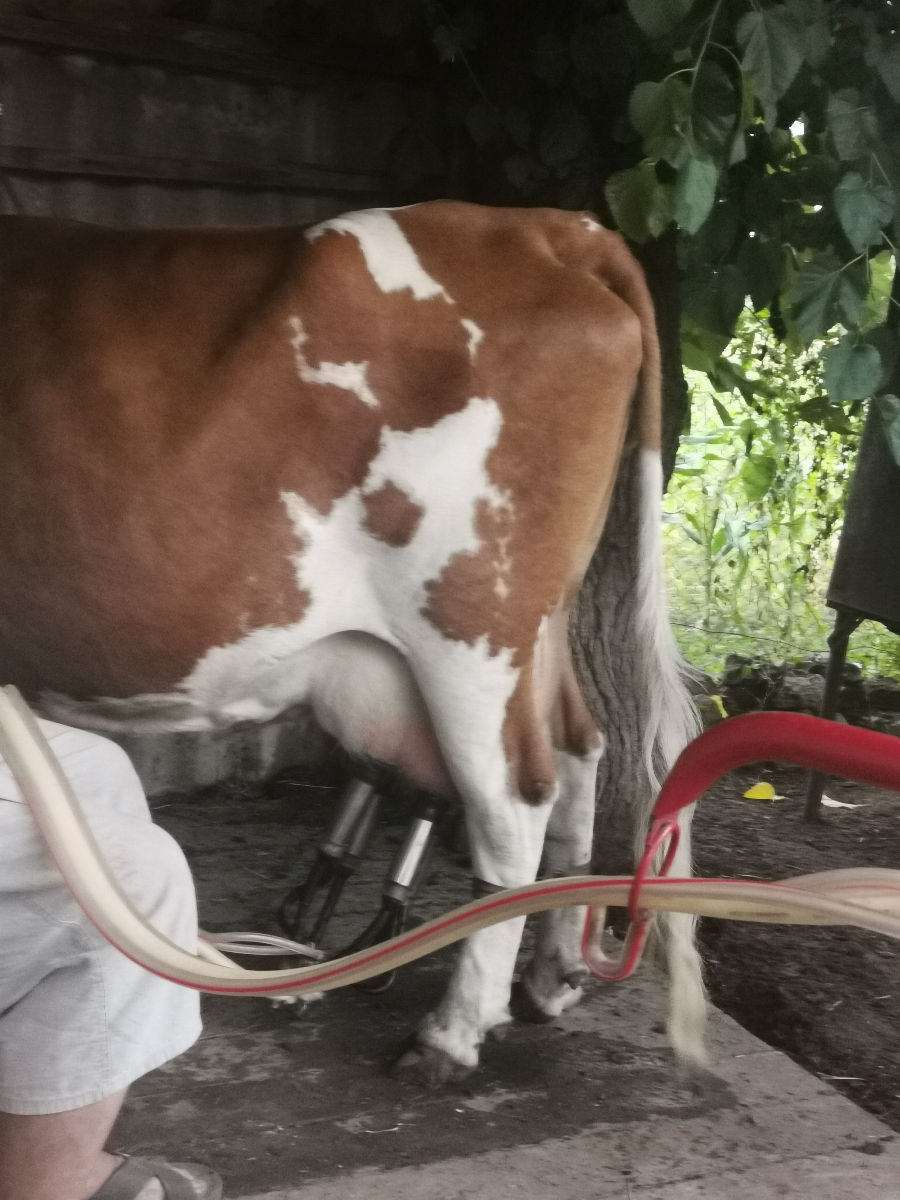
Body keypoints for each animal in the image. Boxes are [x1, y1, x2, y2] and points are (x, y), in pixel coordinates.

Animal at [0, 201, 704, 1081]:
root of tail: (546, 228)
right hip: (538, 627)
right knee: (581, 749)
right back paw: (551, 976)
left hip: (470, 625)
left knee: (513, 805)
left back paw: (452, 1034)